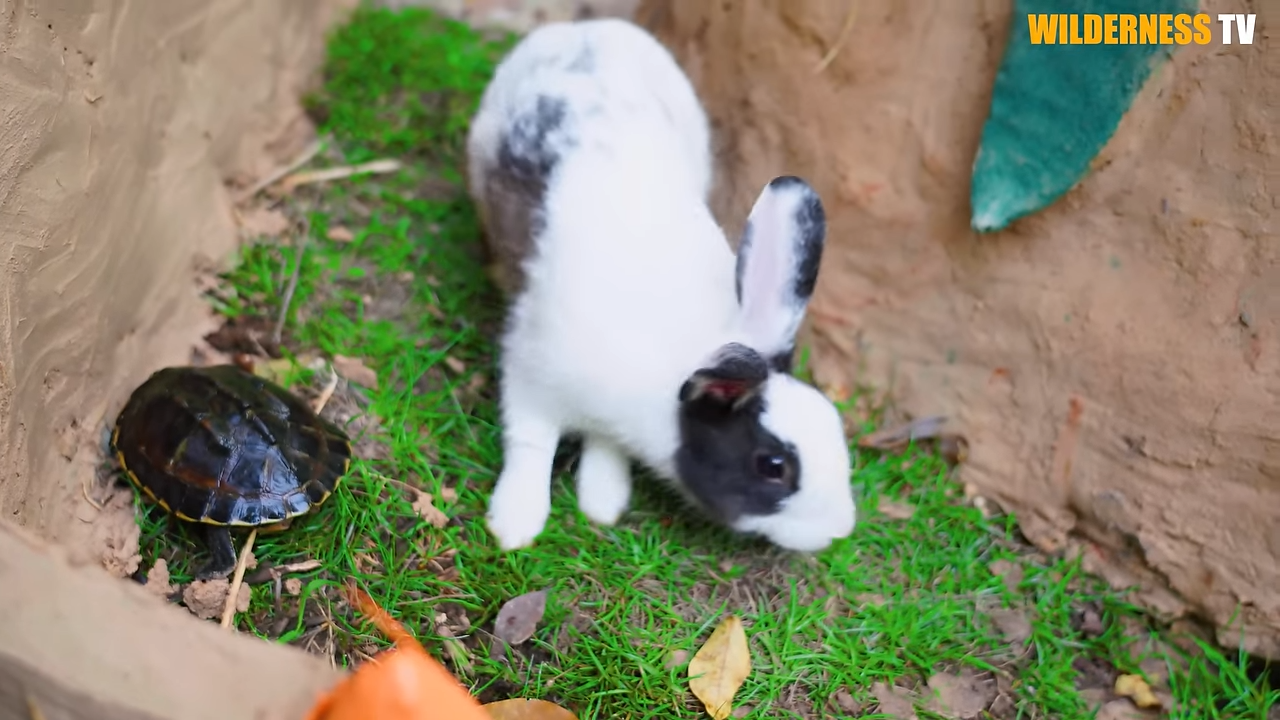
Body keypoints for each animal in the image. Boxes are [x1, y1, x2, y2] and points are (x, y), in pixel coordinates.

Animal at [465, 18, 856, 553]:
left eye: (834, 424)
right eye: (773, 466)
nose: (841, 529)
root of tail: (590, 27)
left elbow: (606, 446)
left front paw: (602, 498)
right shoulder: (530, 378)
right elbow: (531, 445)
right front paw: (515, 522)